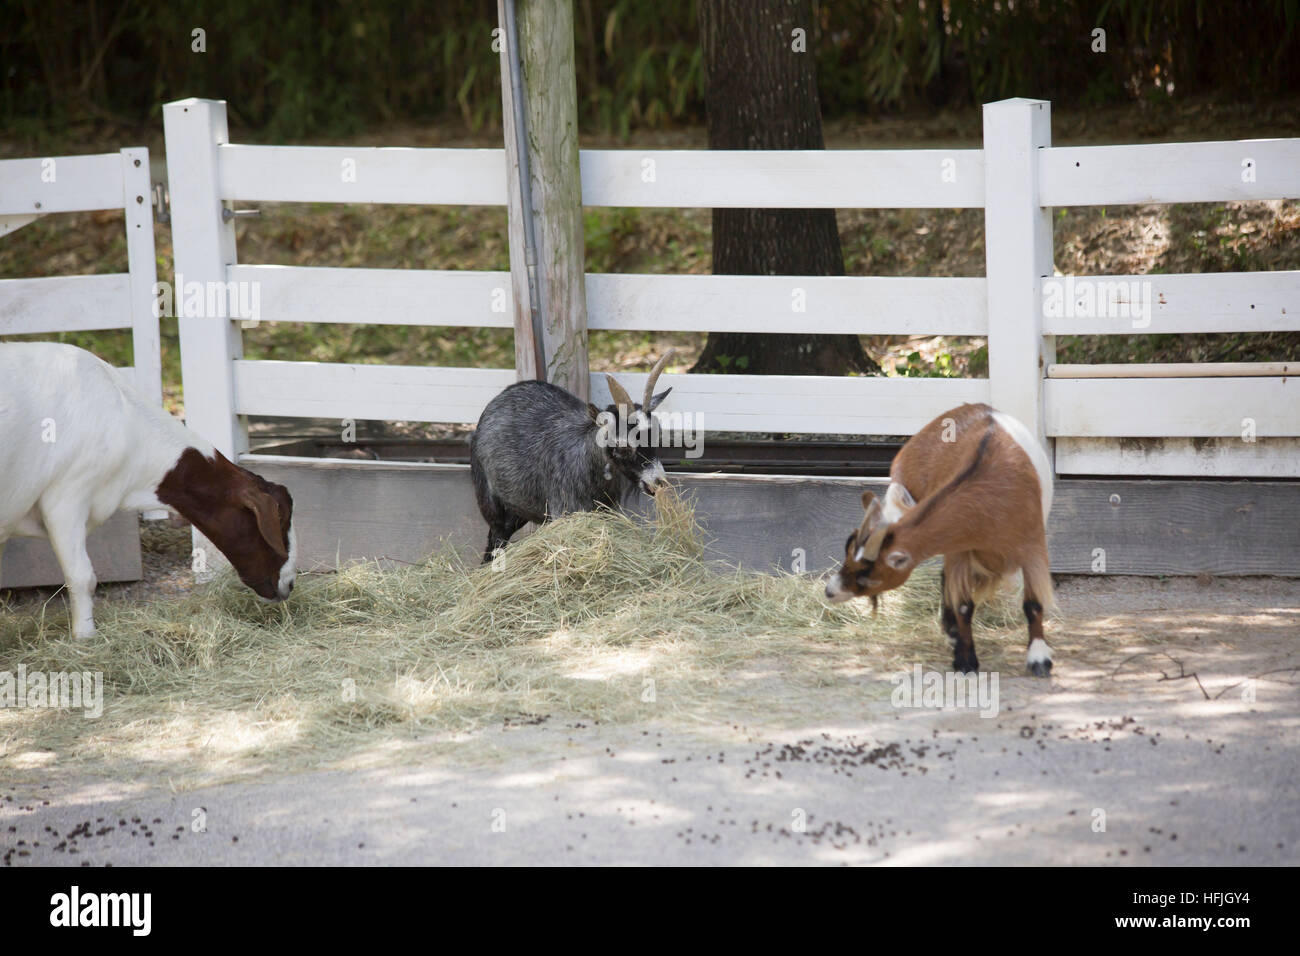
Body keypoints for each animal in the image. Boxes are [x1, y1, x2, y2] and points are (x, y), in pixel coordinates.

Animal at [470, 350, 675, 562]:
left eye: (657, 435)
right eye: (623, 445)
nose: (658, 482)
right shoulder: (564, 514)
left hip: (519, 510)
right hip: (491, 503)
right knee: (495, 540)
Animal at [825, 402, 1055, 676]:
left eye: (865, 573)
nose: (829, 591)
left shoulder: (1033, 547)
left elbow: (1034, 603)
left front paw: (1039, 658)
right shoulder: (958, 549)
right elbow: (964, 605)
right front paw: (965, 660)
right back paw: (952, 633)